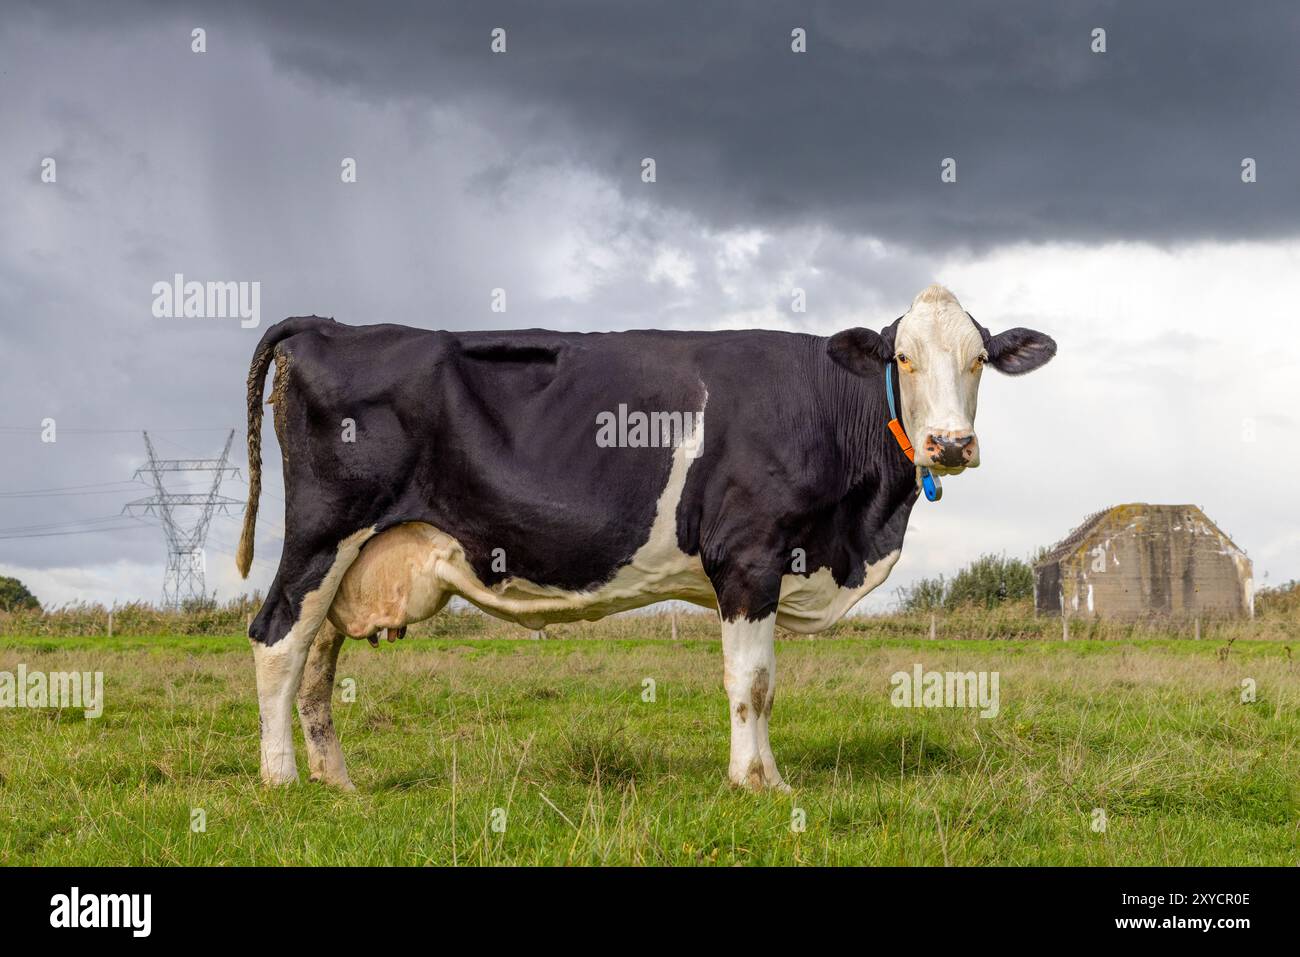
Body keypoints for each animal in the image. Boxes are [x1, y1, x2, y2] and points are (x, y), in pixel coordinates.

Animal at [238, 283, 1055, 792]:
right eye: (903, 357)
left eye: (980, 359)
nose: (950, 443)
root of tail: (327, 326)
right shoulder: (748, 555)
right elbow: (752, 680)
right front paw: (758, 781)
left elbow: (761, 682)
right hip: (322, 531)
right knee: (278, 638)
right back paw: (282, 777)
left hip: (353, 555)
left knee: (317, 656)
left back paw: (338, 779)